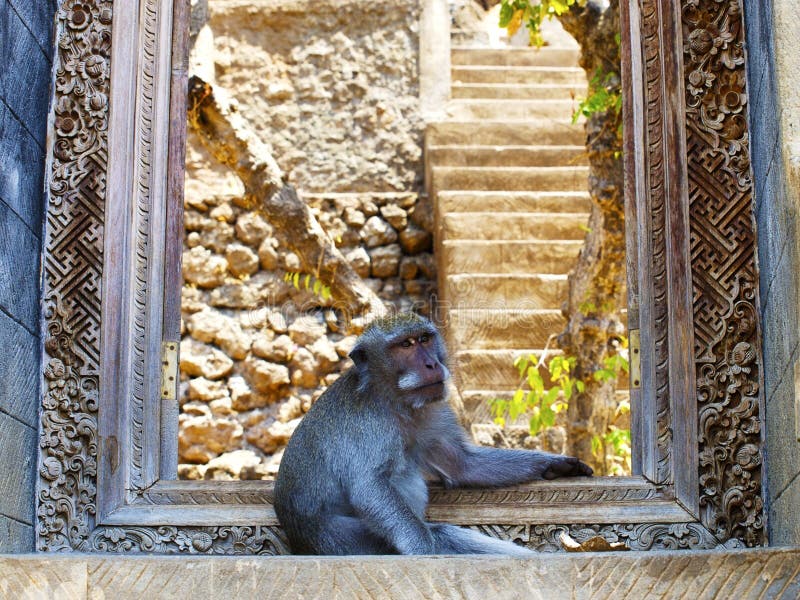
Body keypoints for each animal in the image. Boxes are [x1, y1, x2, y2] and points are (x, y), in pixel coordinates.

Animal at [273, 313, 593, 556]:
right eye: (405, 345)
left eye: (424, 339)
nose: (431, 364)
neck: (395, 401)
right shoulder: (367, 426)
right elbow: (370, 487)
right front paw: (424, 552)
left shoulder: (434, 410)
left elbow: (463, 465)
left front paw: (555, 464)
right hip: (344, 539)